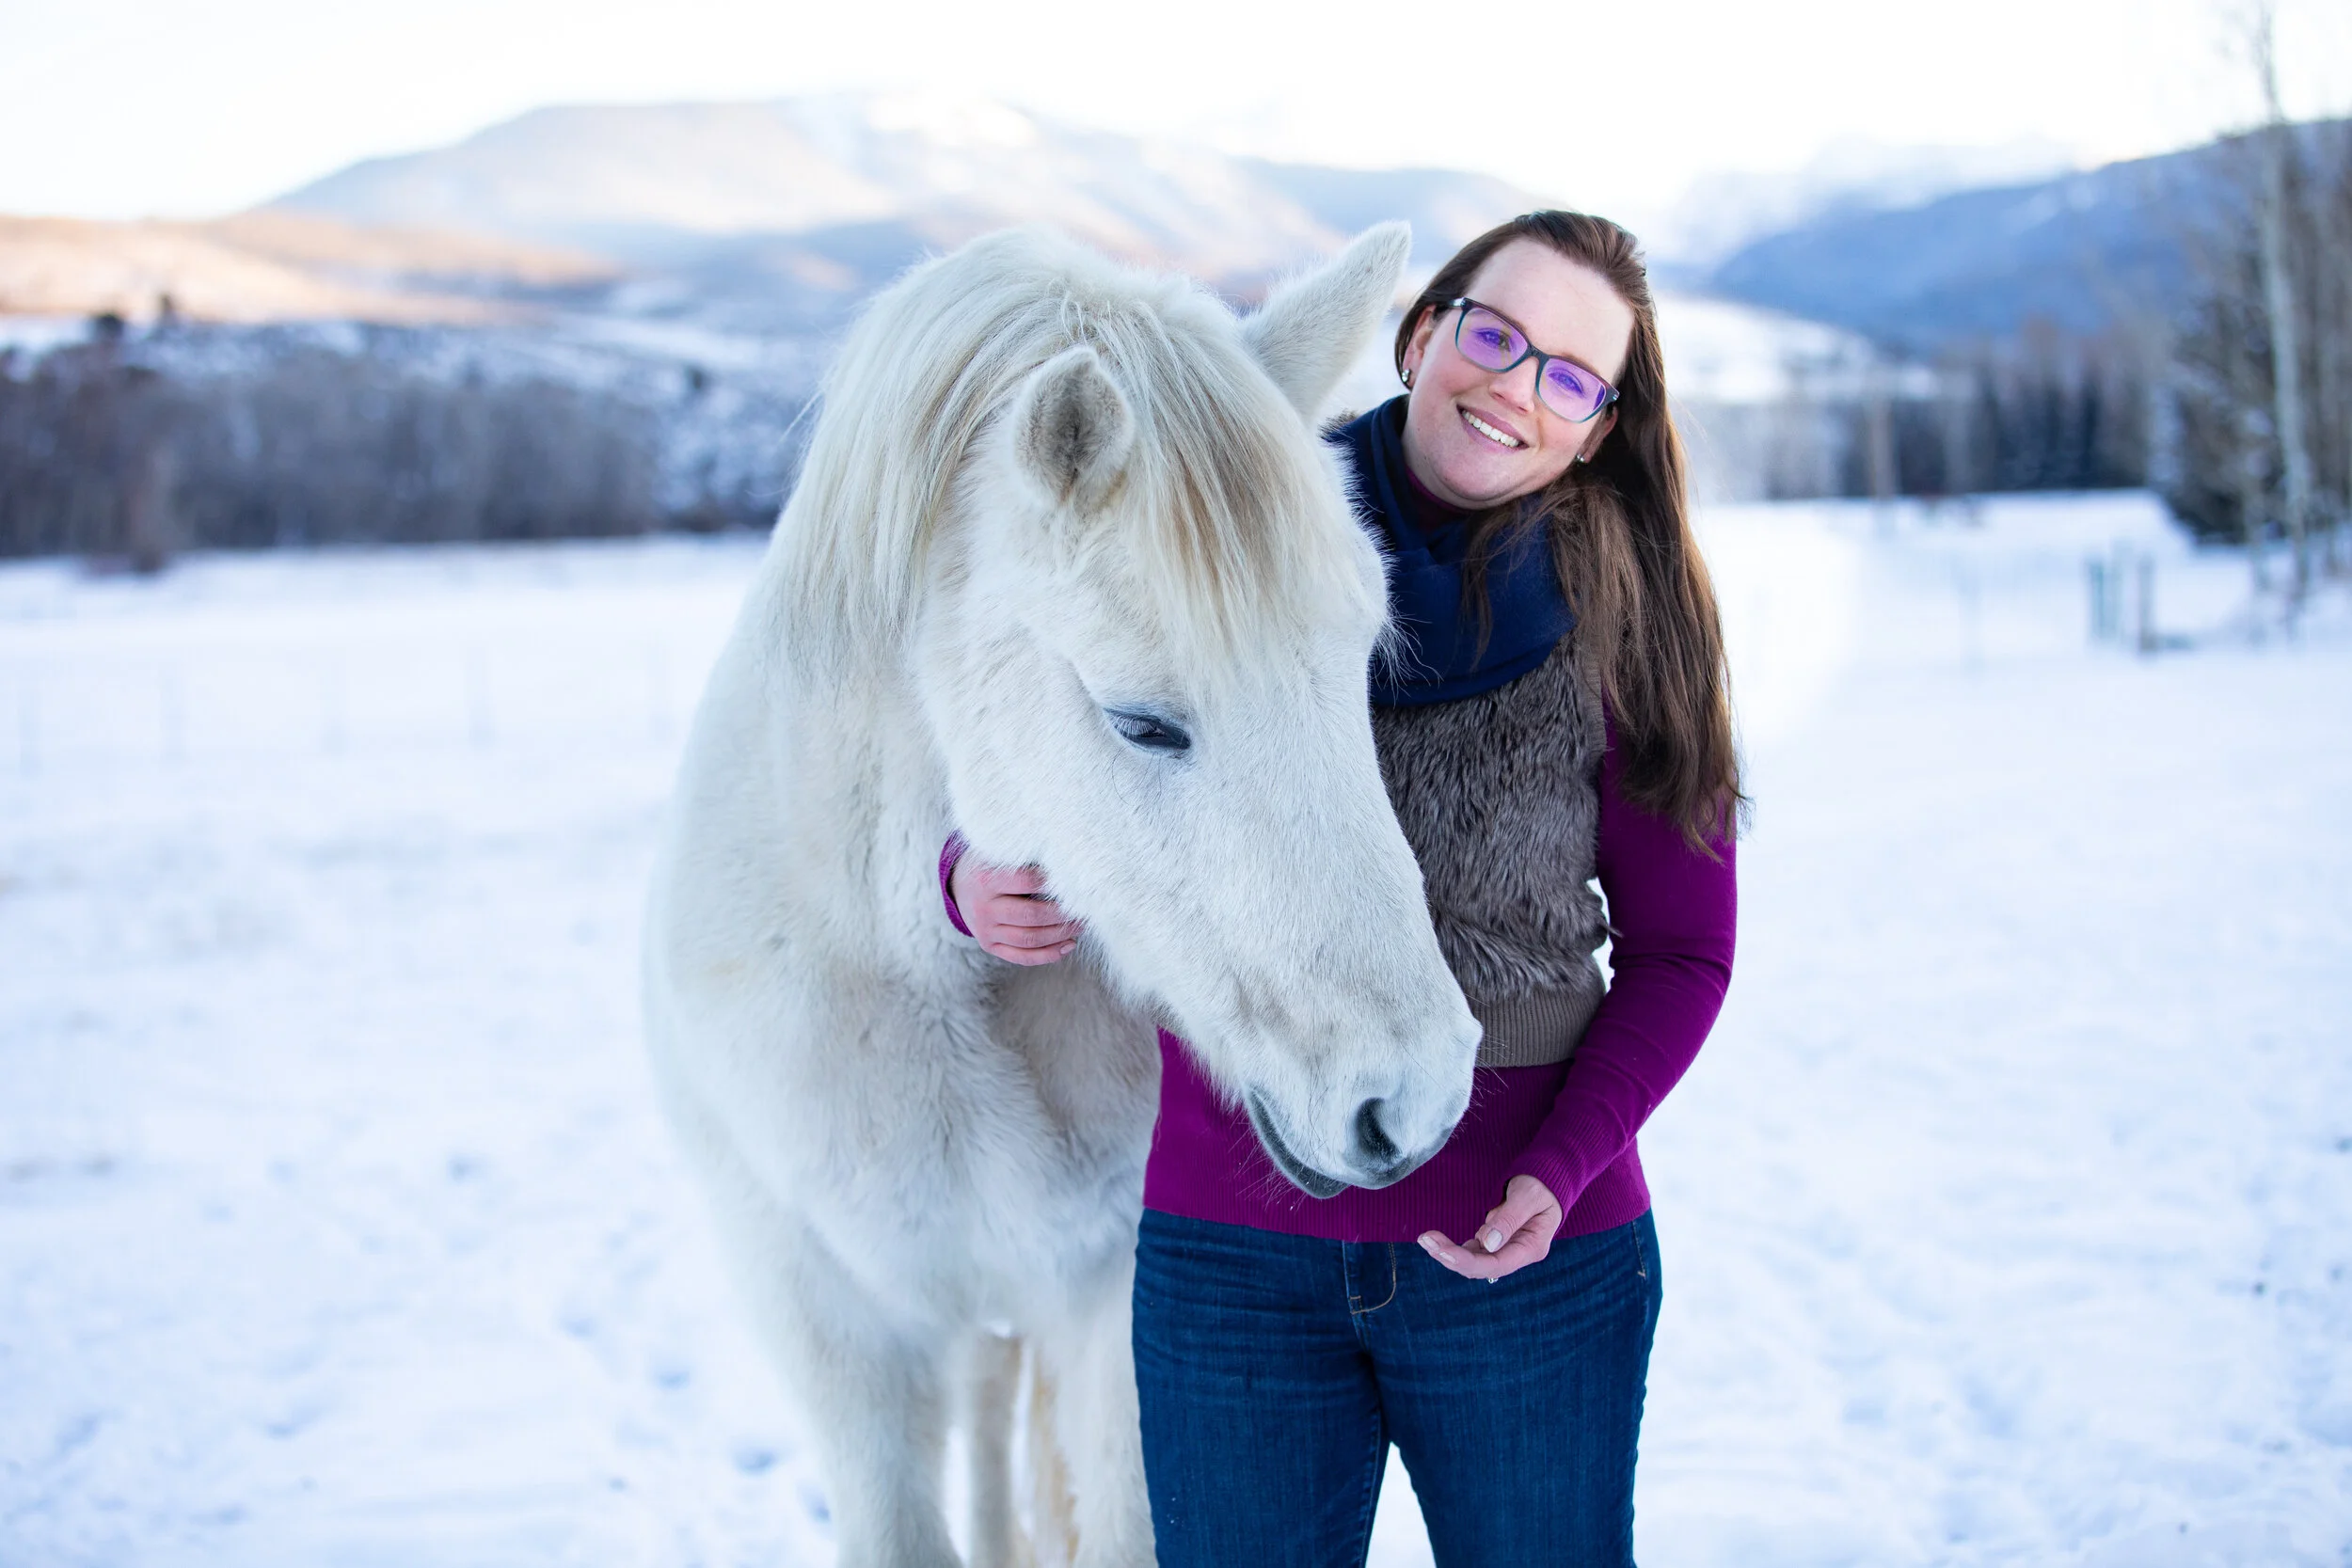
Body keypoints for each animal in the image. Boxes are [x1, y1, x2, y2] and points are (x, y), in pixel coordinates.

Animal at [642, 222, 1481, 1568]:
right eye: (1140, 720)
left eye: (1359, 660)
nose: (1414, 1096)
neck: (910, 964)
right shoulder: (835, 1331)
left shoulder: (1113, 1308)